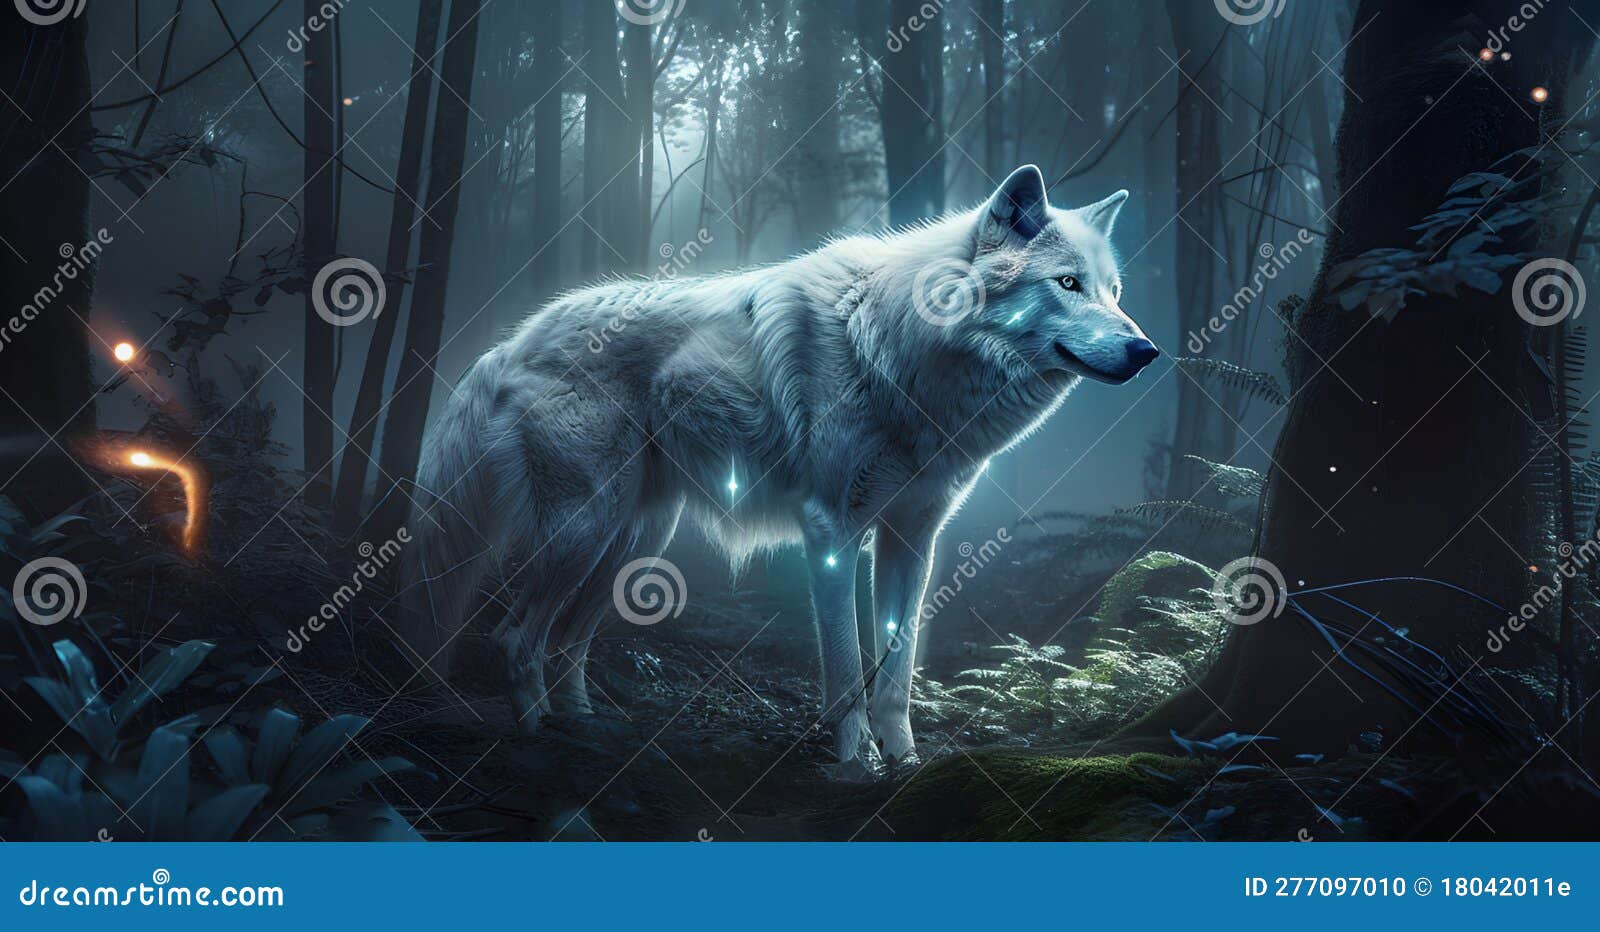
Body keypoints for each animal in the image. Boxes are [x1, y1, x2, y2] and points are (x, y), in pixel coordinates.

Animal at [400, 165, 1158, 766]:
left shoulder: (913, 538)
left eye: (1116, 292)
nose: (1147, 351)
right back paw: (536, 742)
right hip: (586, 532)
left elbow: (897, 673)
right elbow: (846, 668)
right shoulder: (831, 532)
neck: (897, 351)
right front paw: (857, 768)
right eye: (1068, 283)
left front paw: (907, 766)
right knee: (516, 638)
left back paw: (585, 731)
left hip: (633, 540)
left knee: (564, 644)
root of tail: (513, 342)